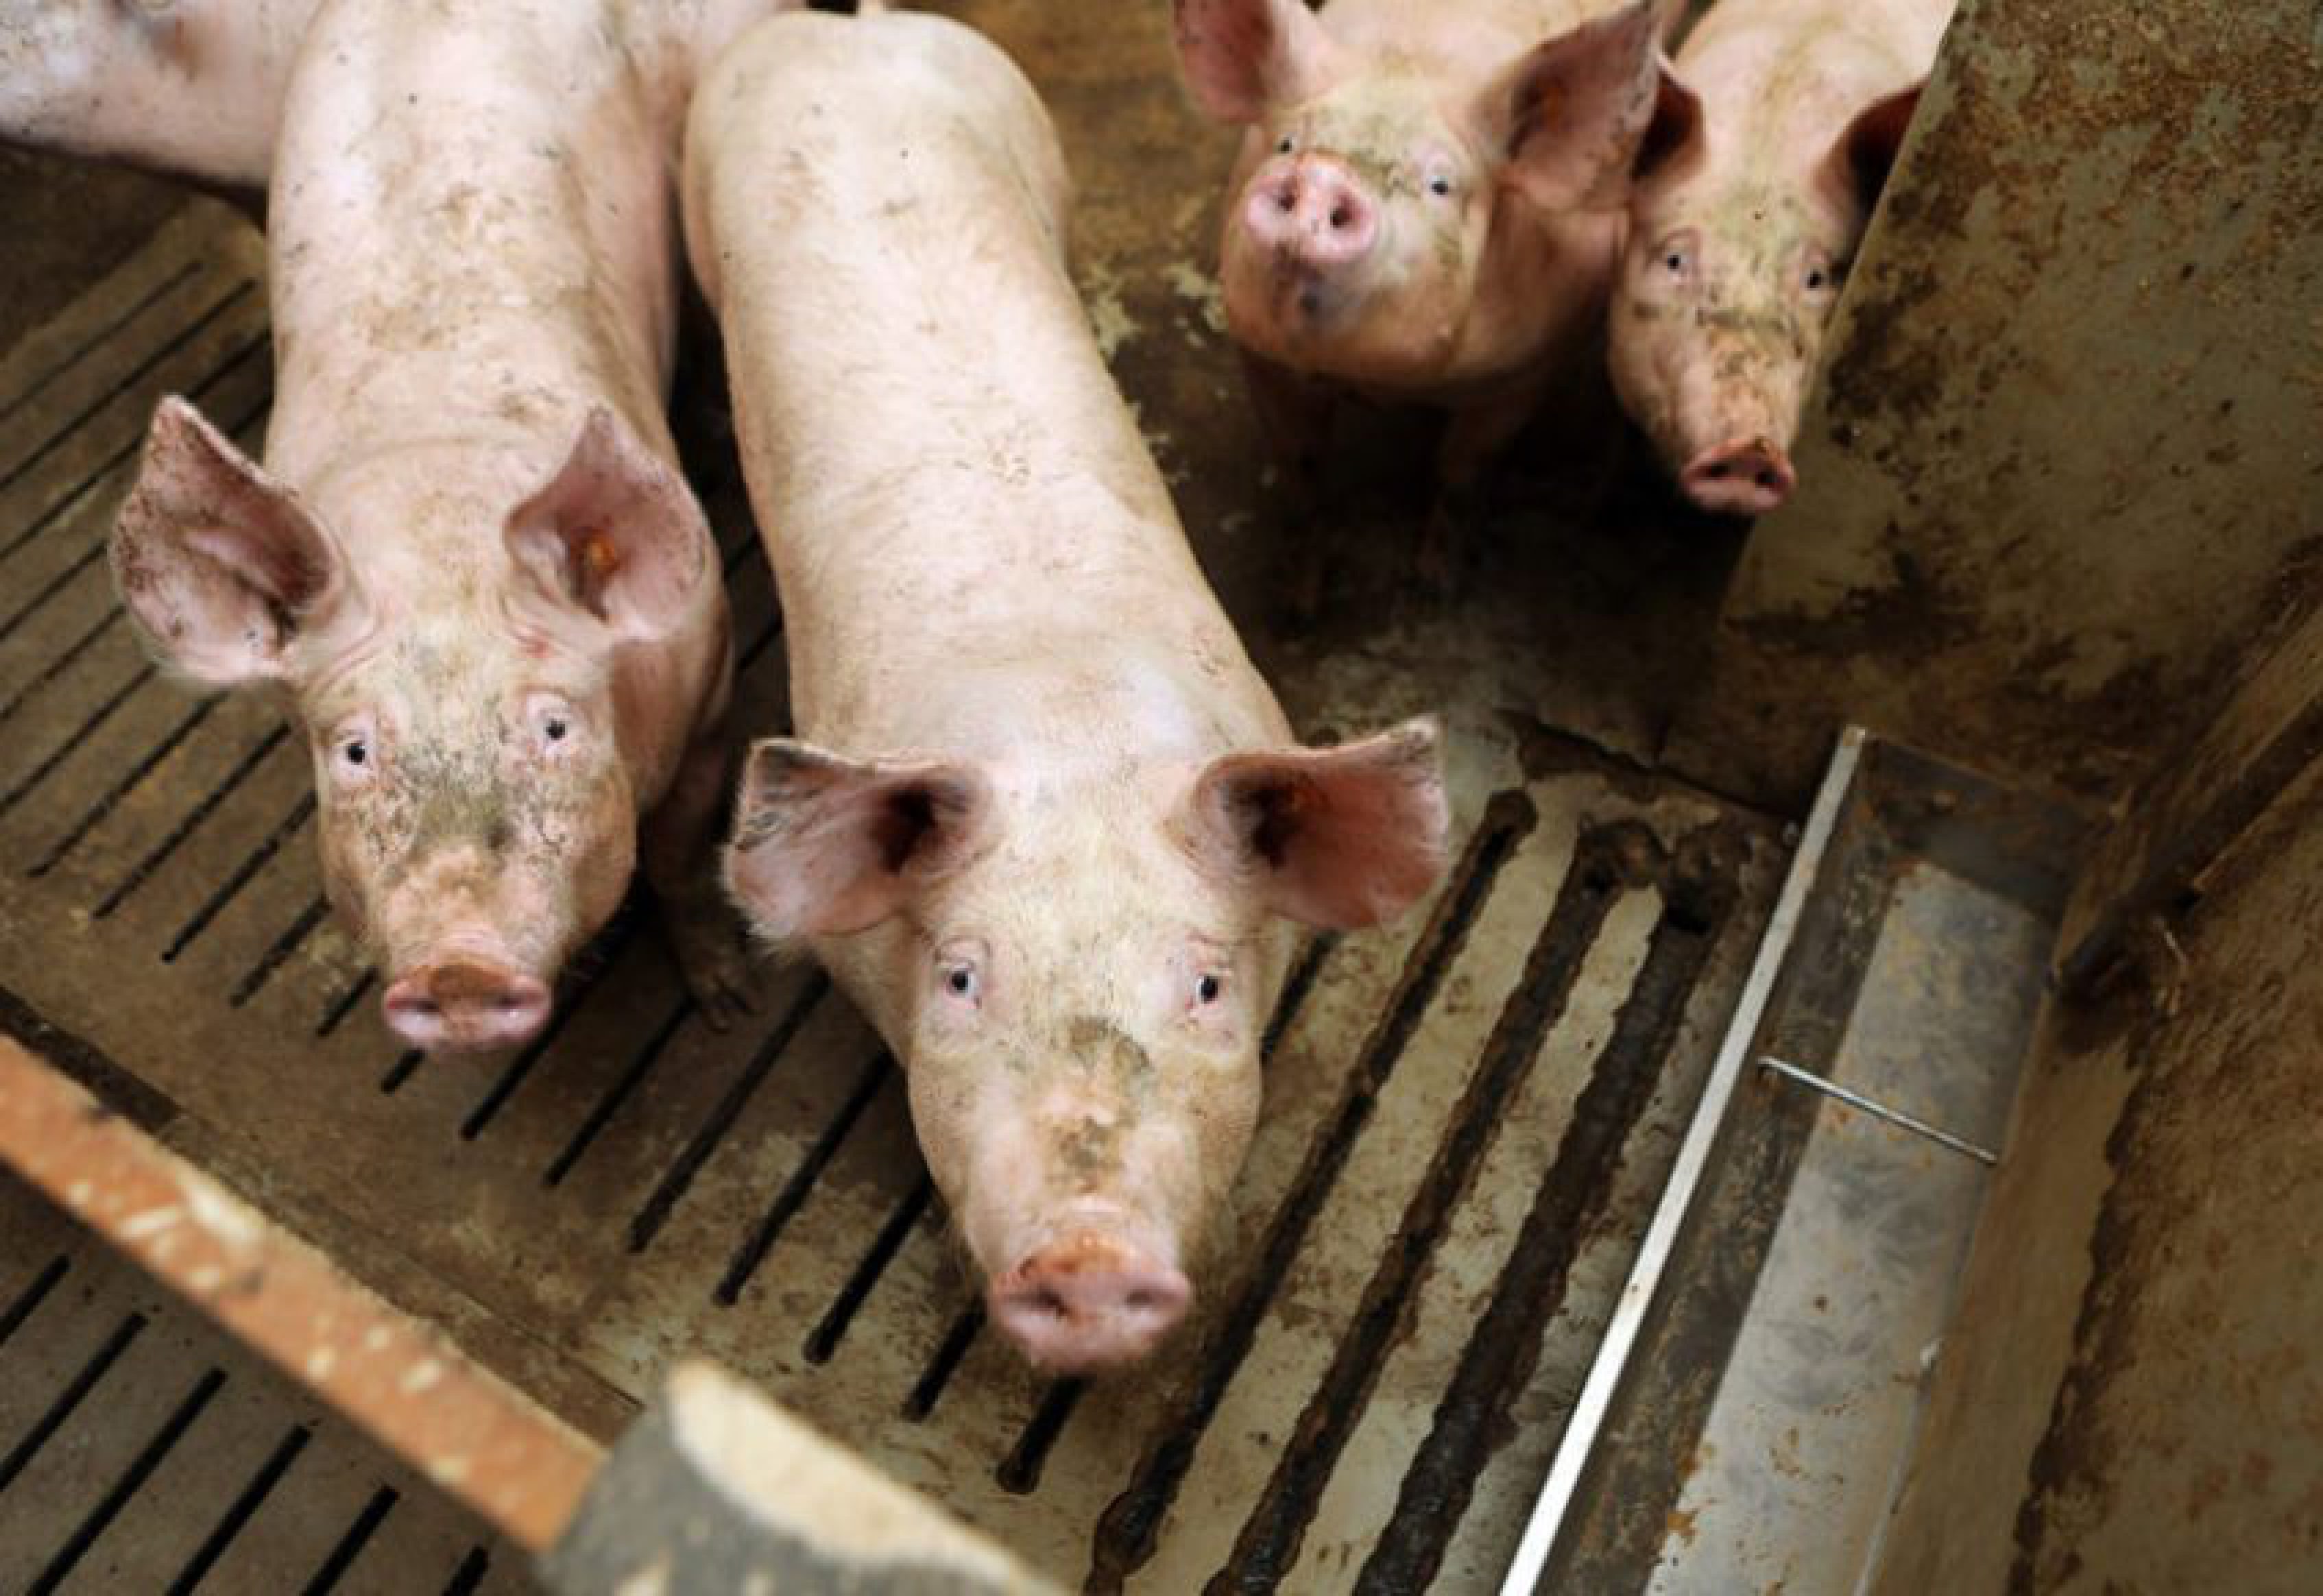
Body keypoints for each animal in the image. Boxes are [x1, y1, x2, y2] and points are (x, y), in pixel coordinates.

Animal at [107, 0, 799, 1053]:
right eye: (355, 751)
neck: (439, 523)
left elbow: (681, 860)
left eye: (554, 726)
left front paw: (729, 1005)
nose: (460, 969)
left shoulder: (713, 689)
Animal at [1172, 0, 1670, 582]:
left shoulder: (1527, 370)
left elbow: (1461, 474)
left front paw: (1434, 582)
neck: (1379, 382)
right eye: (1286, 144)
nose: (1323, 172)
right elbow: (1302, 469)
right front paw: (1301, 594)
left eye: (1441, 185)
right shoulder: (1264, 361)